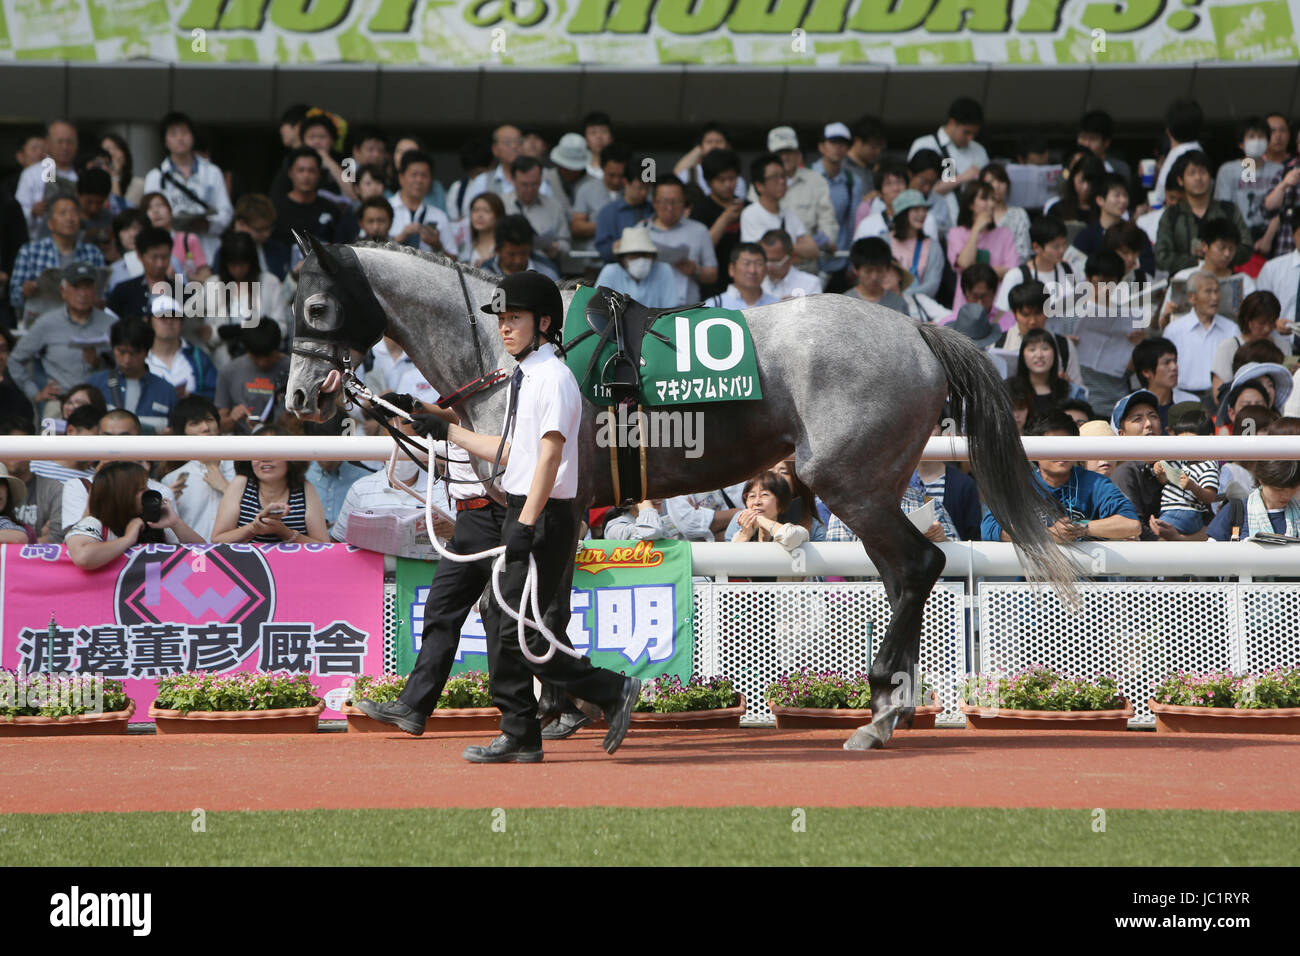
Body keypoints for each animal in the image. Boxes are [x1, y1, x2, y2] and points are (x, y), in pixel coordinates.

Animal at [285, 235, 1077, 749]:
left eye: (317, 308)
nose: (297, 396)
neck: (517, 357)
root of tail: (916, 331)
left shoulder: (557, 499)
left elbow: (537, 607)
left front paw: (568, 706)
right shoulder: (557, 508)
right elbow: (537, 606)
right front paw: (564, 707)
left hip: (850, 483)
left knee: (917, 567)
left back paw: (881, 712)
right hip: (870, 487)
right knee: (905, 574)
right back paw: (893, 705)